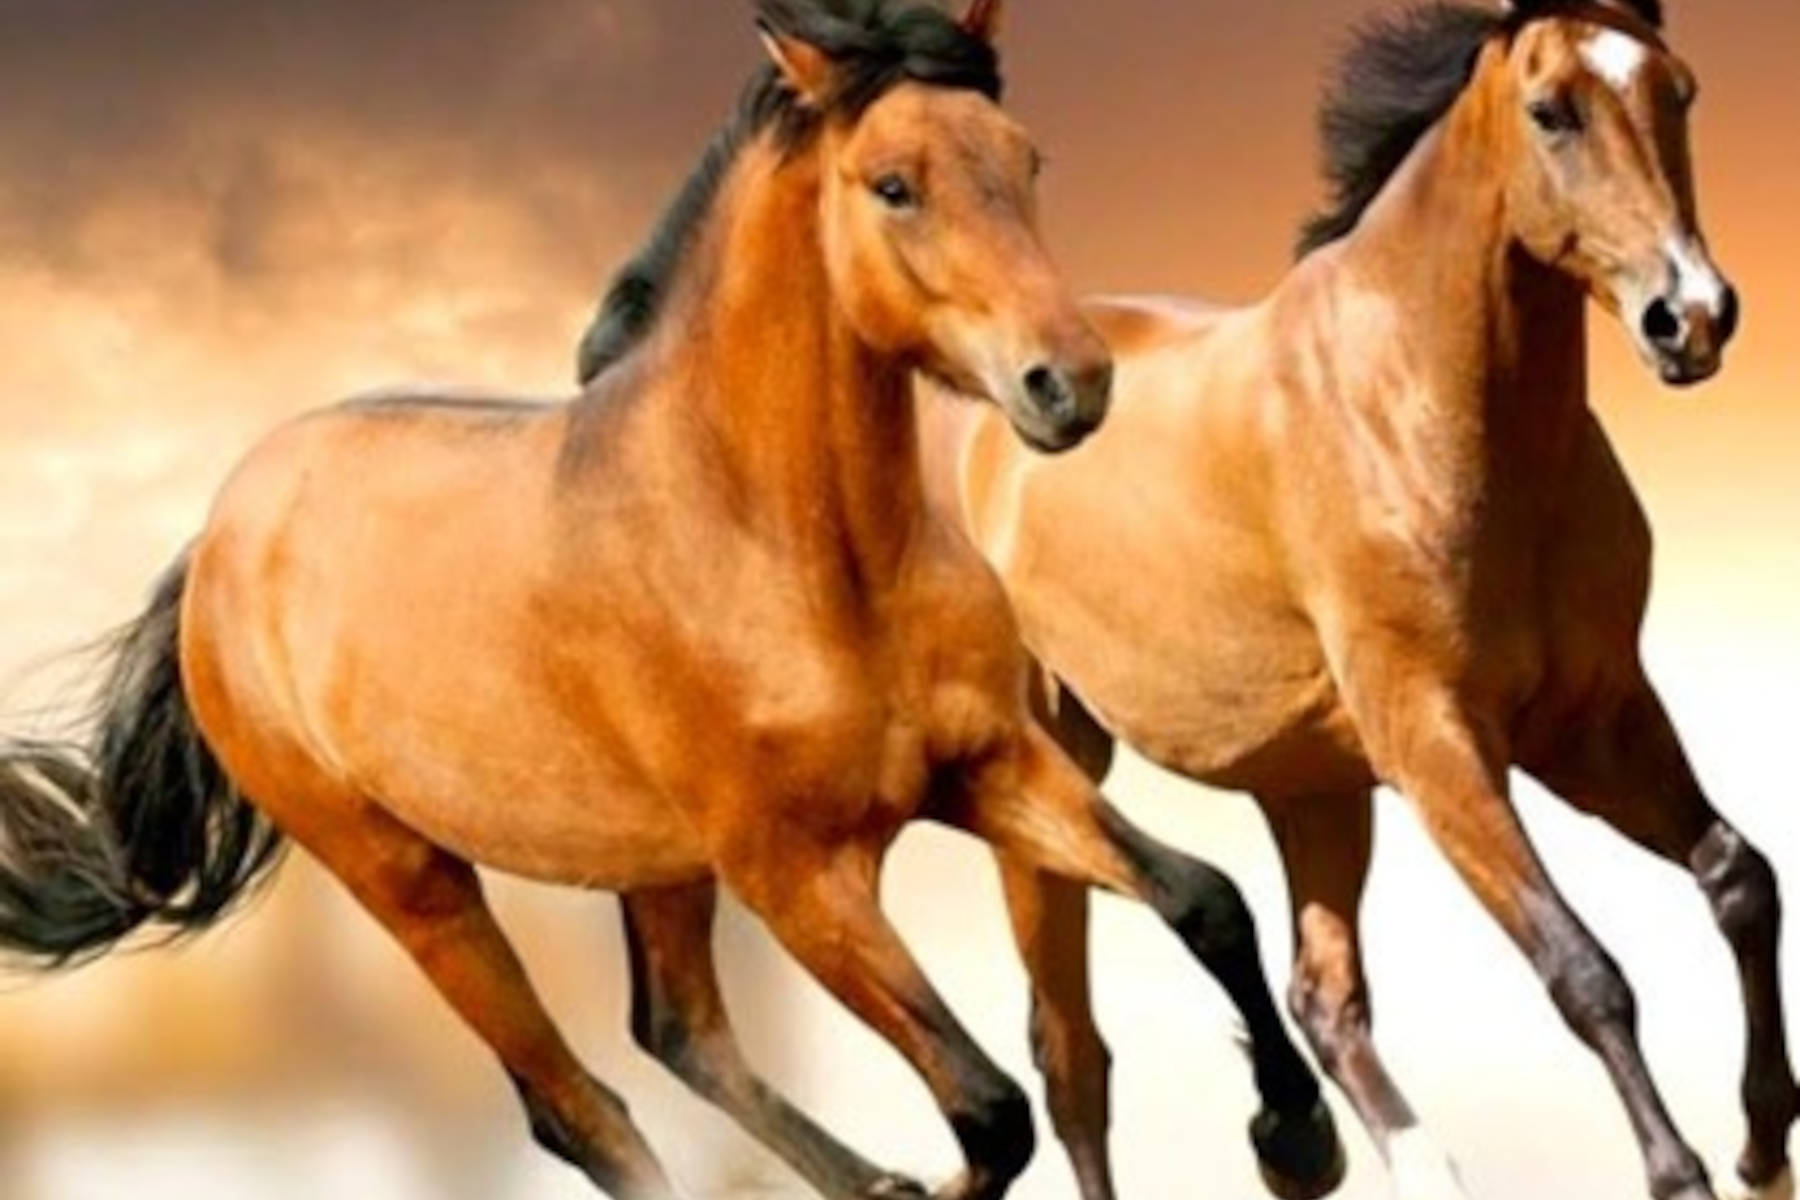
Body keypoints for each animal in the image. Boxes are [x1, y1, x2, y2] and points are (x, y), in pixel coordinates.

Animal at [0, 2, 1346, 1198]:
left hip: (647, 860)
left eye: (1026, 159)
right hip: (410, 880)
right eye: (893, 185)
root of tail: (220, 542)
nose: (1068, 383)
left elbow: (1207, 903)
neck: (795, 553)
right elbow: (988, 1111)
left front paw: (1297, 1141)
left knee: (677, 1030)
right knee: (576, 1107)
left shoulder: (992, 767)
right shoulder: (799, 876)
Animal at [923, 1, 1788, 1198]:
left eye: (1680, 92)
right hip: (1047, 774)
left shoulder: (1594, 719)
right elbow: (1583, 970)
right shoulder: (1437, 744)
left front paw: (1764, 1141)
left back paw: (1348, 1150)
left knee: (1321, 1000)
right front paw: (1685, 1172)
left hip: (1314, 788)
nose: (1691, 317)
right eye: (1551, 111)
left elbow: (1740, 877)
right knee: (1072, 1060)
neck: (1421, 407)